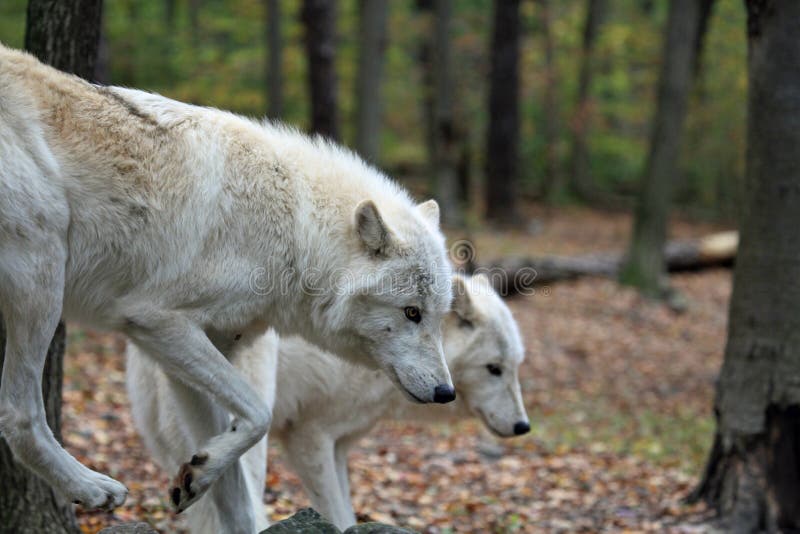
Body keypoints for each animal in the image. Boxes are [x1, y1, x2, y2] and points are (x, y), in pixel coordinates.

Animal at [0, 43, 455, 522]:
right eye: (411, 312)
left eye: (437, 317)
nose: (447, 392)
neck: (295, 230)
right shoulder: (158, 322)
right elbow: (259, 415)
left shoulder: (184, 361)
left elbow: (235, 488)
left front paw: (197, 478)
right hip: (42, 276)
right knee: (18, 412)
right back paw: (92, 489)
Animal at [127, 274, 529, 532]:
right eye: (493, 369)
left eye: (513, 368)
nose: (523, 426)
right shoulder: (310, 438)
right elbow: (335, 513)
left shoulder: (338, 447)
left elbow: (347, 515)